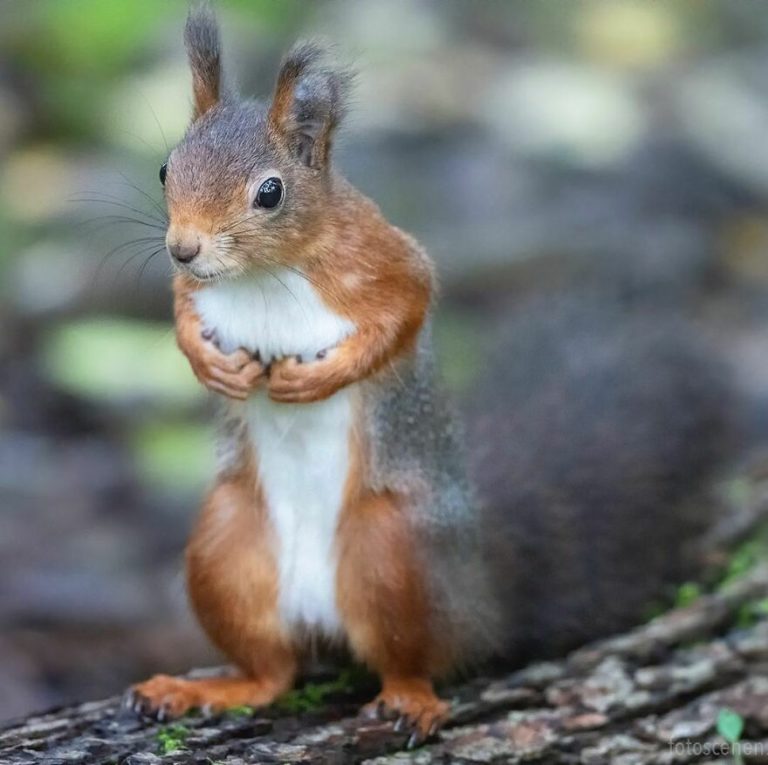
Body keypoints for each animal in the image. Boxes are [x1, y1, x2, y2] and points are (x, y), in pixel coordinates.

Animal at [126, 6, 738, 743]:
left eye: (269, 193)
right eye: (167, 168)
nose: (183, 247)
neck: (261, 274)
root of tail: (482, 596)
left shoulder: (385, 256)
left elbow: (408, 306)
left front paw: (320, 379)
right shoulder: (198, 288)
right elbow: (184, 311)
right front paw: (208, 359)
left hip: (394, 556)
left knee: (414, 659)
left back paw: (411, 698)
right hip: (226, 549)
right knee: (273, 673)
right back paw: (205, 688)